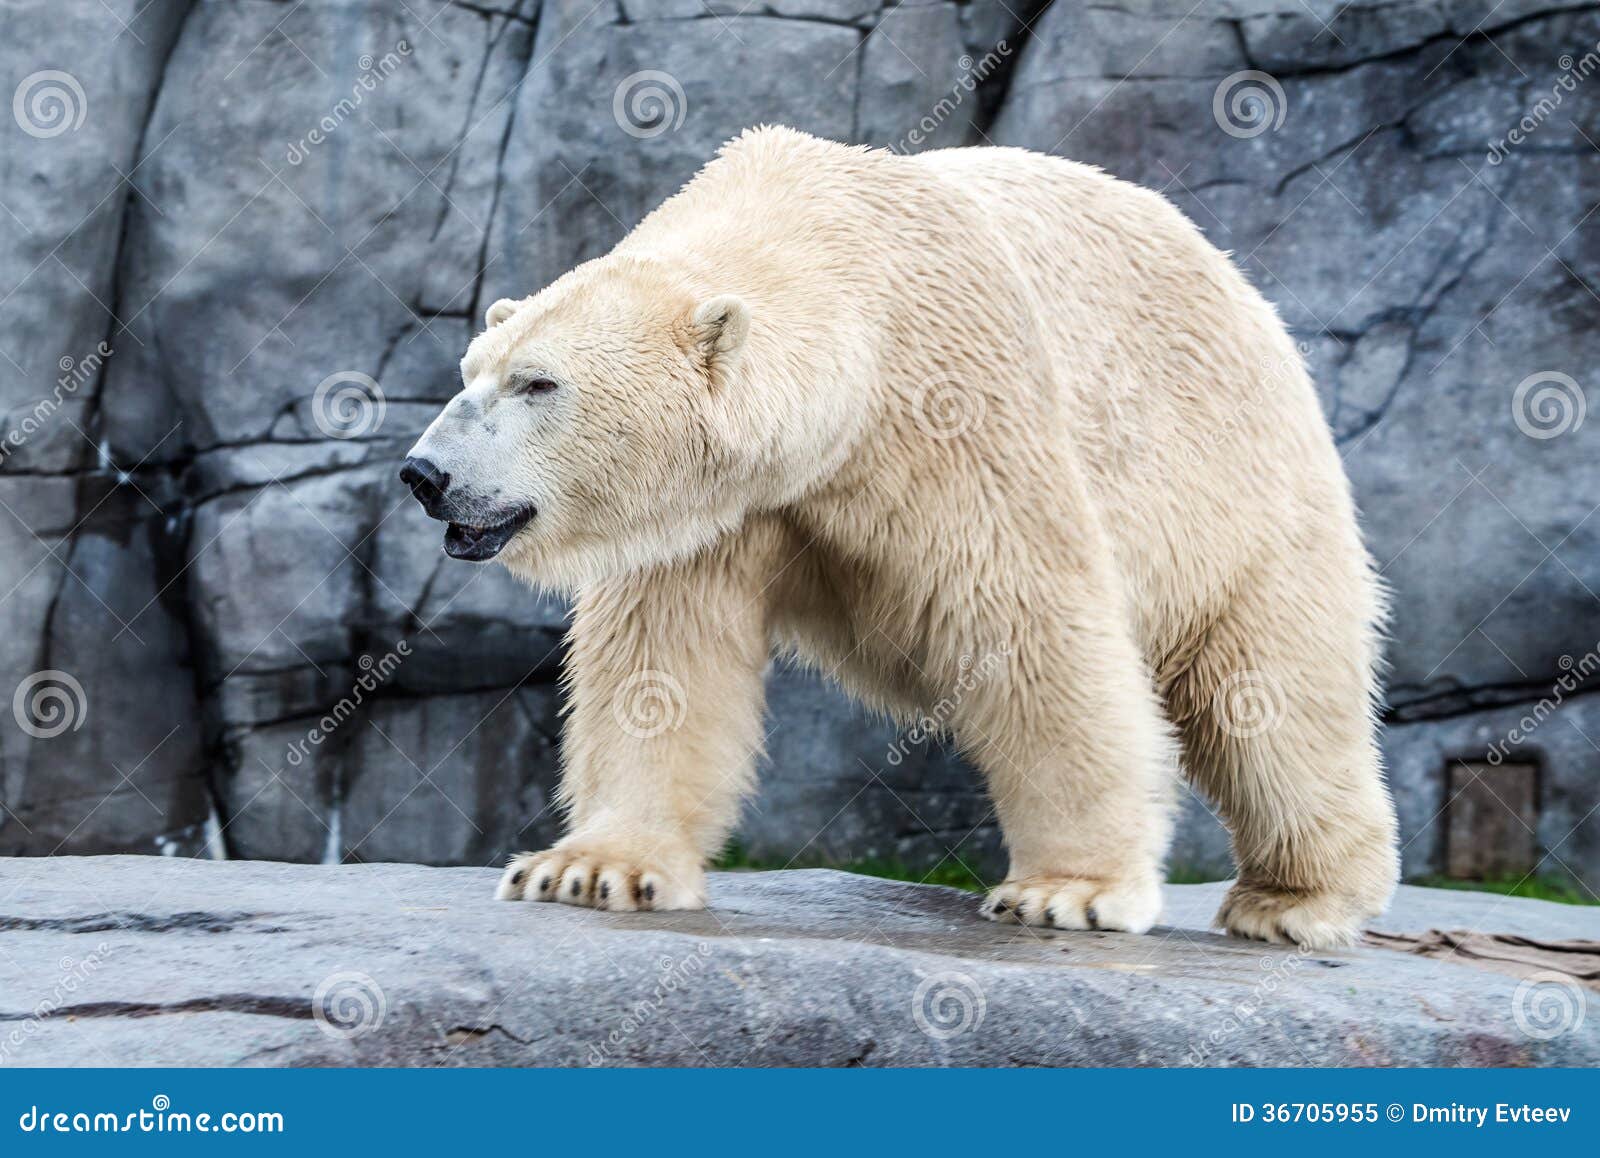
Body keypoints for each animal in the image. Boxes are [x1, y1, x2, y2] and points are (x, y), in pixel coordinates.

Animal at [401, 126, 1398, 949]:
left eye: (538, 383)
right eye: (472, 369)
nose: (425, 475)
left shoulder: (960, 415)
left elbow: (1033, 629)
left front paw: (1070, 890)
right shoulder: (719, 507)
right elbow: (663, 661)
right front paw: (592, 868)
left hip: (1241, 492)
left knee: (1270, 695)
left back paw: (1297, 901)